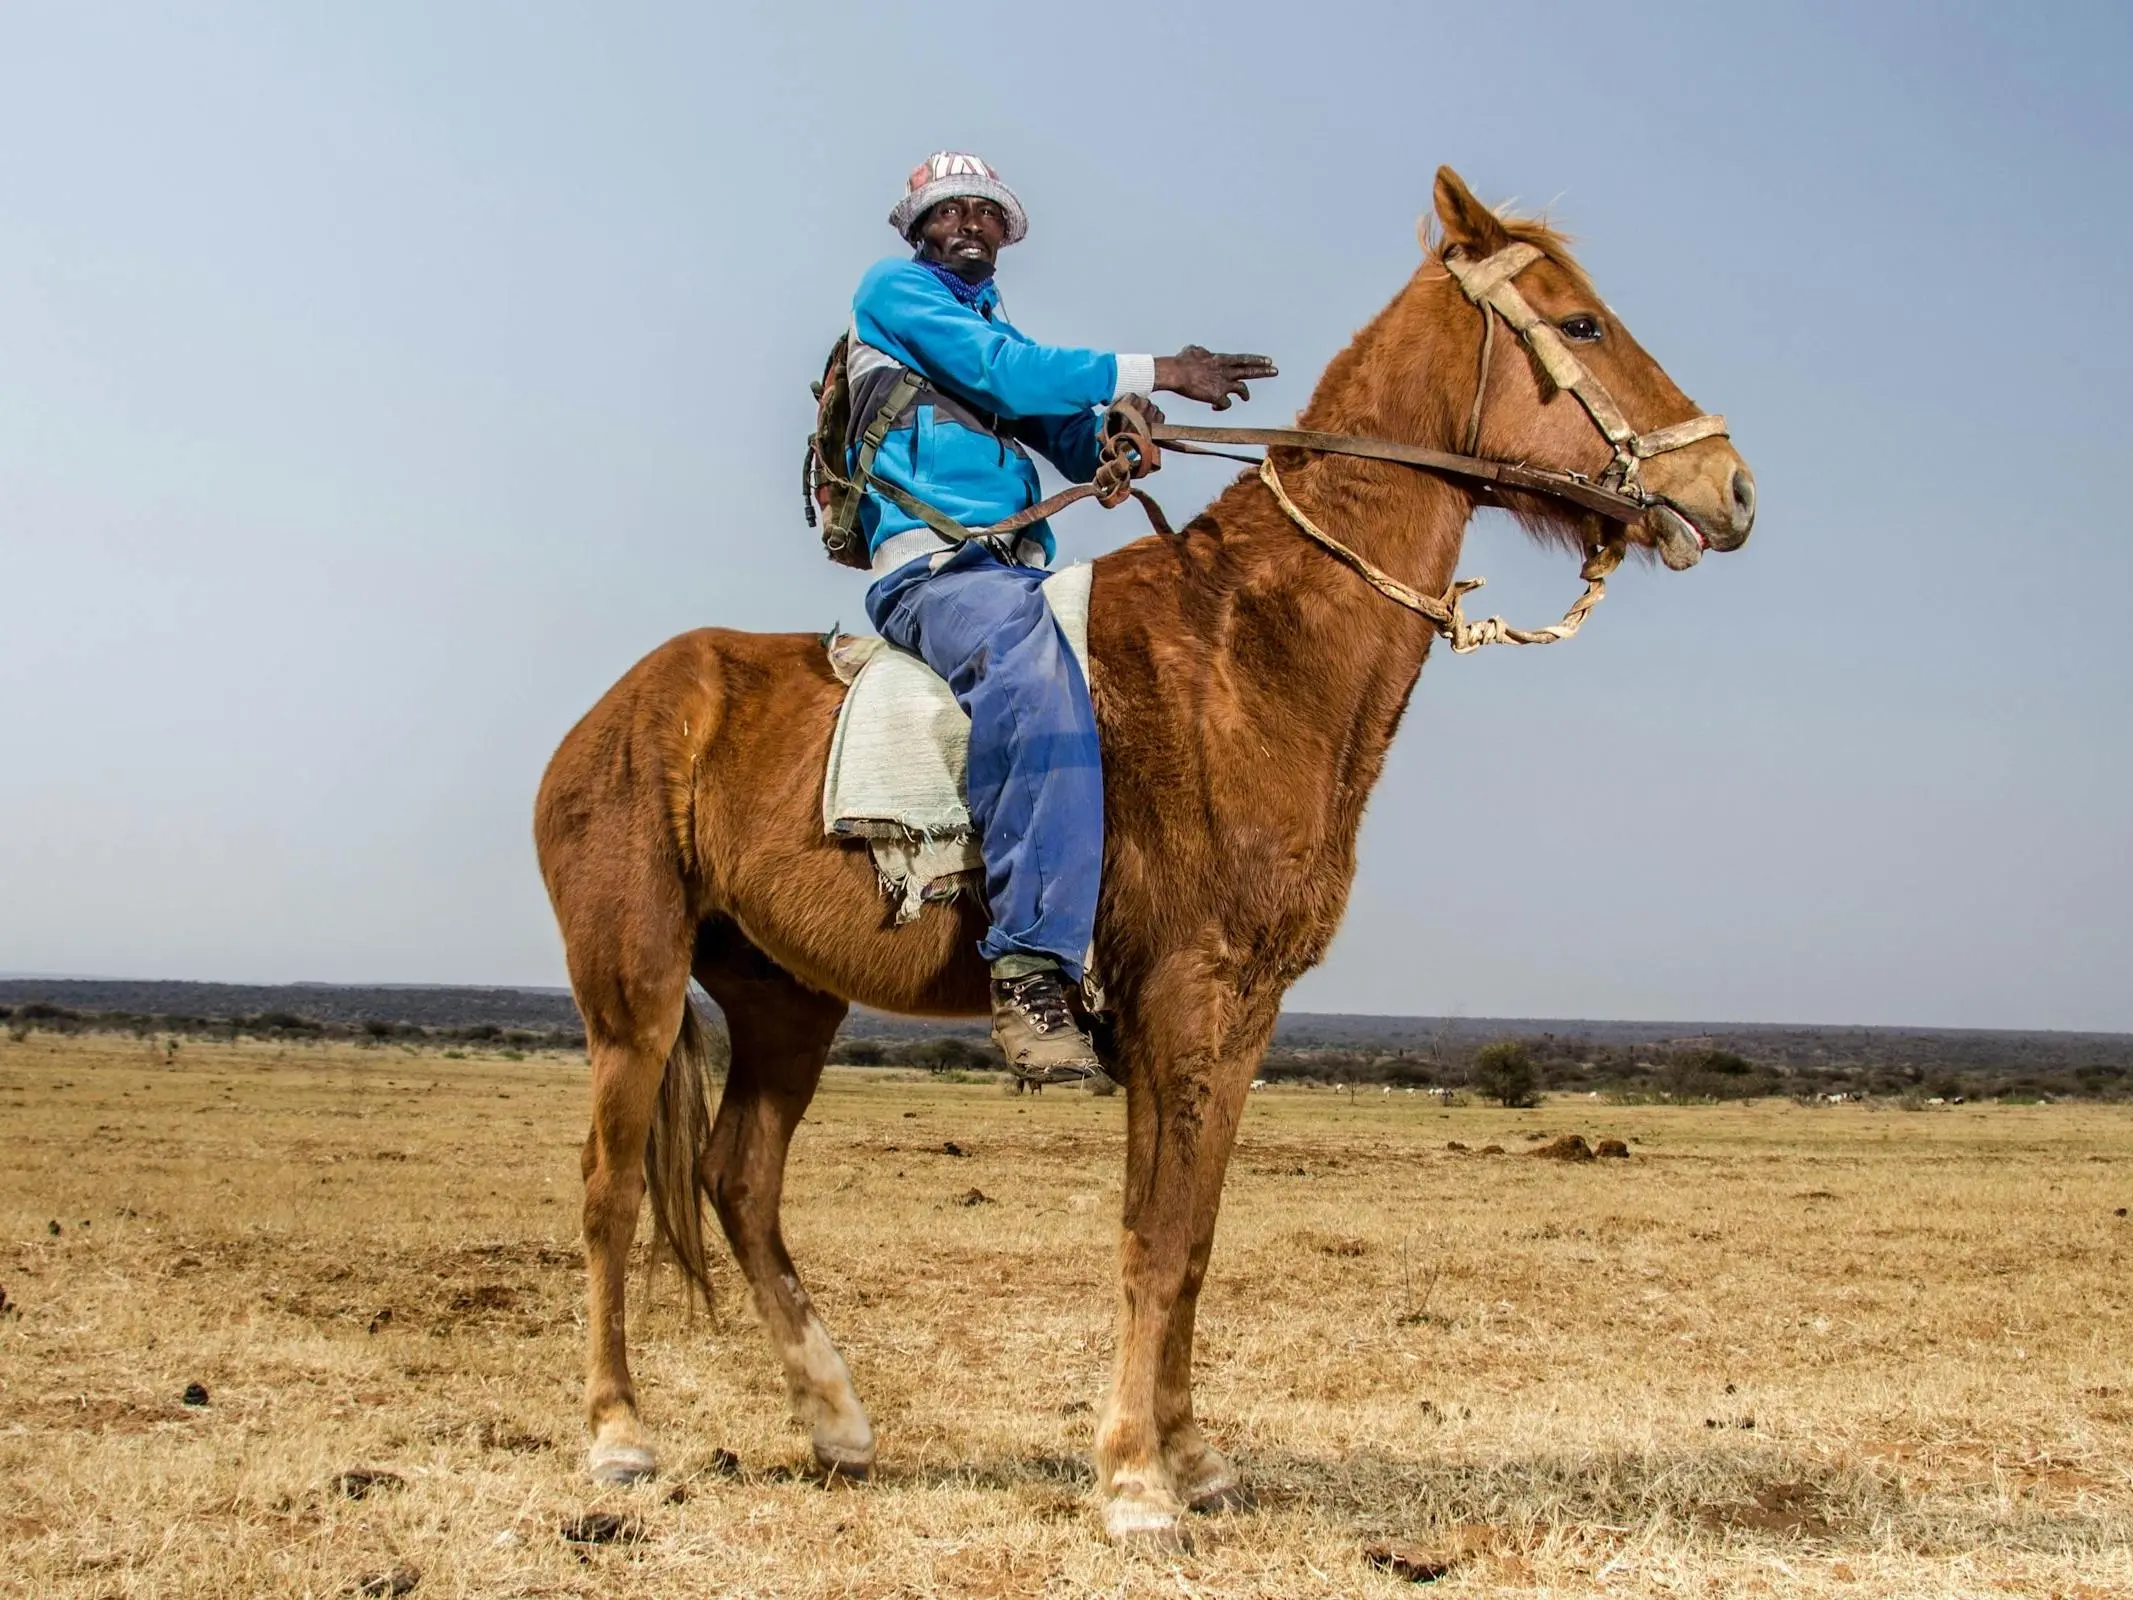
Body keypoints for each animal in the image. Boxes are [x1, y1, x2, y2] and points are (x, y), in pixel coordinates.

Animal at [532, 165, 1756, 1545]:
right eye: (1585, 321)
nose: (1730, 487)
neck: (1252, 647)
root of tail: (612, 713)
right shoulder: (1178, 995)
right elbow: (1152, 1239)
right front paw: (1132, 1479)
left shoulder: (1244, 1012)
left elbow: (1196, 1239)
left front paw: (1195, 1458)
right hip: (632, 994)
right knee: (610, 1188)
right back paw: (619, 1434)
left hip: (786, 999)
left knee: (739, 1181)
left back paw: (838, 1422)